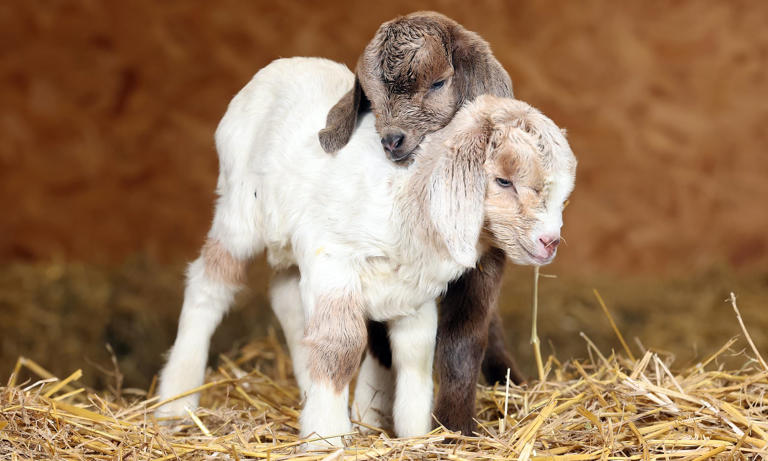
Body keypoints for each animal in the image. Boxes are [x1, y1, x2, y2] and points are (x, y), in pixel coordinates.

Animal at [156, 57, 576, 446]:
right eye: (503, 181)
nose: (549, 241)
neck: (406, 194)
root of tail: (282, 66)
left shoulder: (412, 290)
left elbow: (417, 354)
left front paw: (415, 435)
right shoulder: (332, 259)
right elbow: (340, 343)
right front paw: (327, 438)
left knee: (285, 296)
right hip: (240, 209)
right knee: (209, 285)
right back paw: (176, 401)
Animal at [318, 11, 523, 434]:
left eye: (439, 83)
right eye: (371, 96)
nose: (393, 140)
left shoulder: (486, 262)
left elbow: (463, 341)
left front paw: (455, 427)